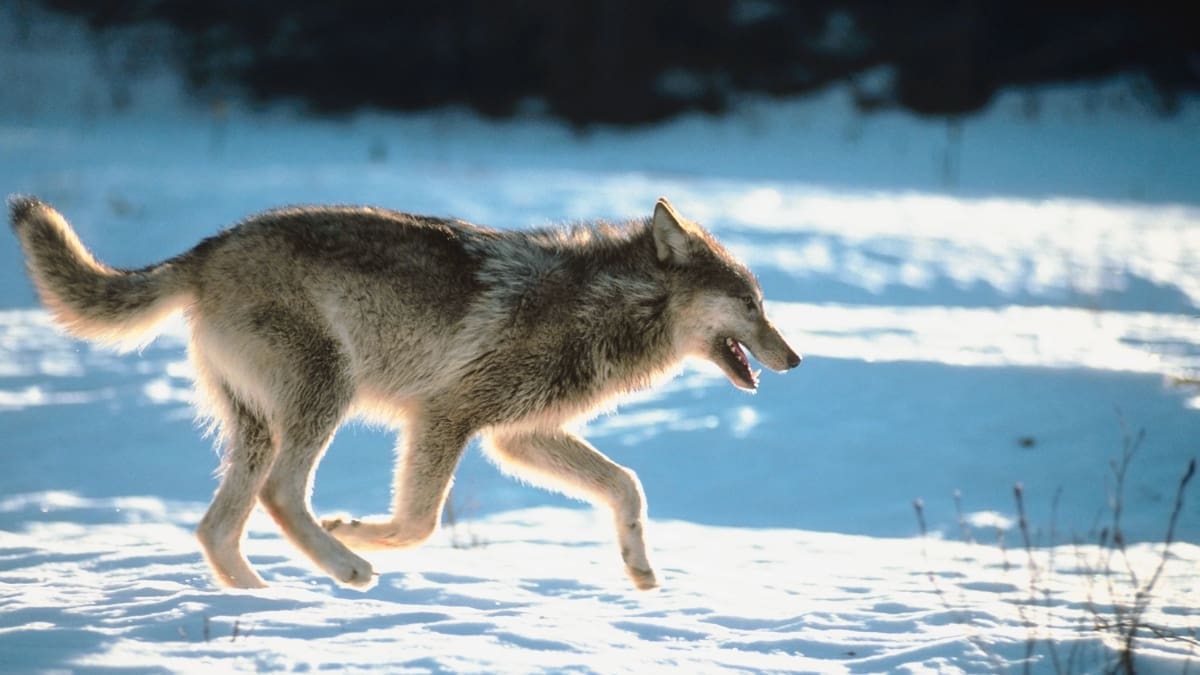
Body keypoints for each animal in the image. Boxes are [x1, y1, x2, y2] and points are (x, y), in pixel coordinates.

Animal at [9, 195, 800, 591]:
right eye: (752, 305)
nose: (794, 359)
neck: (606, 304)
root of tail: (205, 250)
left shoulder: (518, 437)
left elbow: (627, 485)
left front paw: (640, 569)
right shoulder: (447, 416)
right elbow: (419, 522)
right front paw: (360, 530)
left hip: (259, 426)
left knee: (216, 527)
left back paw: (266, 599)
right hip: (323, 396)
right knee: (280, 495)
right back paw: (346, 565)